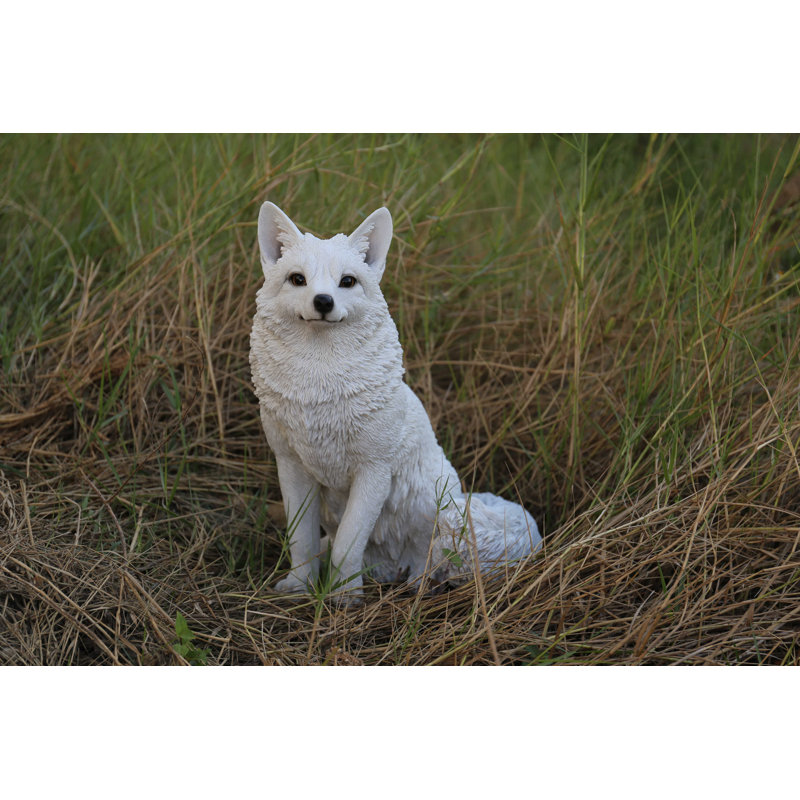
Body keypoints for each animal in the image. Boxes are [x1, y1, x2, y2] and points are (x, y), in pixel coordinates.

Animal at [250, 201, 541, 602]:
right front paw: (300, 587)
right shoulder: (292, 466)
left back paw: (418, 585)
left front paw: (344, 598)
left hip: (442, 514)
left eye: (347, 282)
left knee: (430, 560)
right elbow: (302, 542)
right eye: (297, 279)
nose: (323, 301)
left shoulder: (374, 469)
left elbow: (346, 547)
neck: (318, 387)